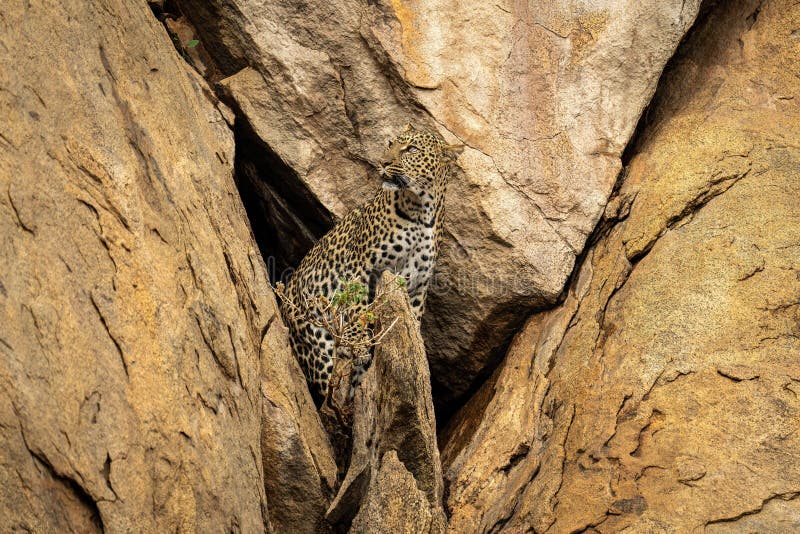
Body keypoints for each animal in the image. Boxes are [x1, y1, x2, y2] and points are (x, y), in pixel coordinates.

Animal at [280, 124, 461, 404]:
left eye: (411, 149)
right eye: (390, 144)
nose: (383, 162)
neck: (423, 210)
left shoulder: (416, 285)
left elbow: (413, 318)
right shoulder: (361, 264)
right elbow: (357, 308)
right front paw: (358, 342)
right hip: (317, 342)